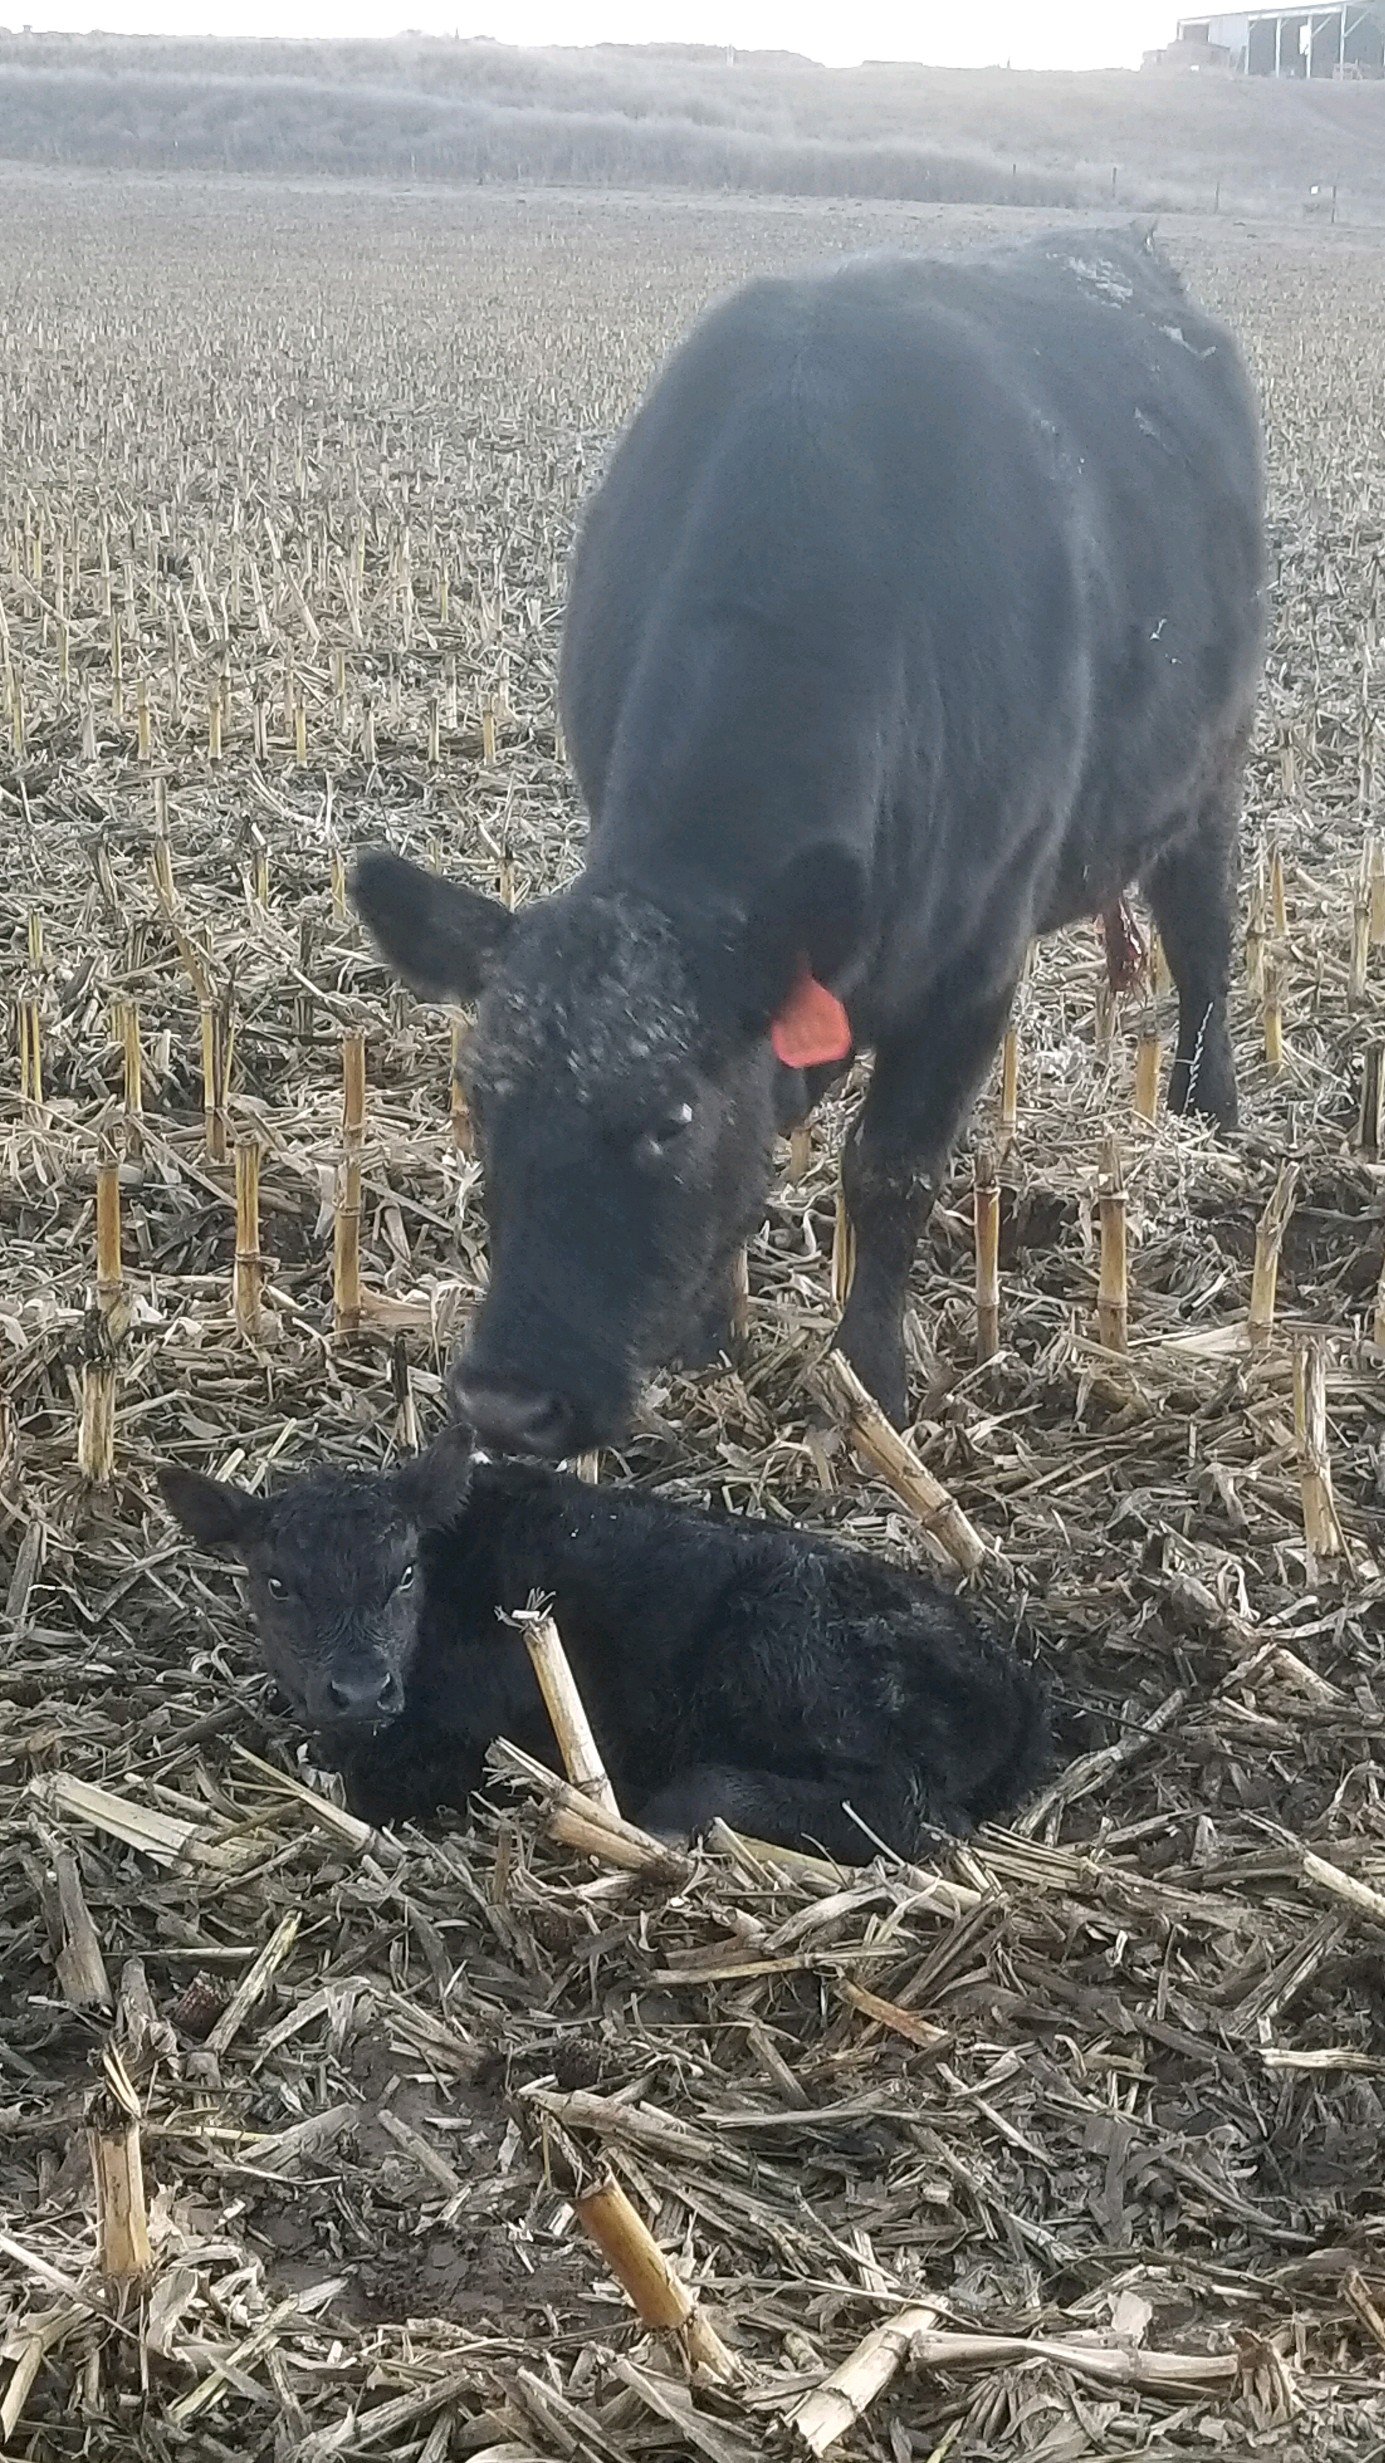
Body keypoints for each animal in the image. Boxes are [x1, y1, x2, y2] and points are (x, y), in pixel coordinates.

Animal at [158, 1424, 1048, 1860]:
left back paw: (685, 1805)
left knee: (908, 1809)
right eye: (276, 1581)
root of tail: (1011, 1681)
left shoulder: (478, 1739)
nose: (359, 1688)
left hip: (791, 1650)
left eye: (403, 1572)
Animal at [352, 226, 1266, 1452]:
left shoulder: (975, 965)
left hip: (1207, 773)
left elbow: (889, 1173)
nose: (507, 1397)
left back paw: (1208, 1112)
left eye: (670, 1119)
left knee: (1202, 938)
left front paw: (871, 1376)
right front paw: (707, 1335)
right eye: (480, 1098)